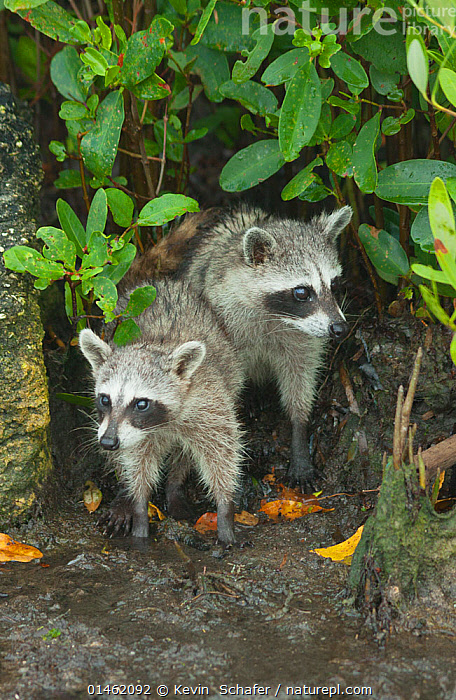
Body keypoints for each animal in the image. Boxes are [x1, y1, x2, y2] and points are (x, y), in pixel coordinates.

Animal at [79, 278, 244, 545]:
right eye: (105, 399)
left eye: (141, 403)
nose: (108, 441)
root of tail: (160, 283)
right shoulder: (127, 433)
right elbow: (136, 465)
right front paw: (137, 507)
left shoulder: (209, 404)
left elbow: (221, 453)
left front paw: (225, 510)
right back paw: (125, 491)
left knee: (185, 452)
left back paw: (174, 485)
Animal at [129, 204, 352, 490]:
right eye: (302, 292)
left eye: (333, 284)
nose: (340, 329)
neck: (276, 317)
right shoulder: (223, 320)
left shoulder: (303, 336)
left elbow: (300, 379)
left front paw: (299, 432)